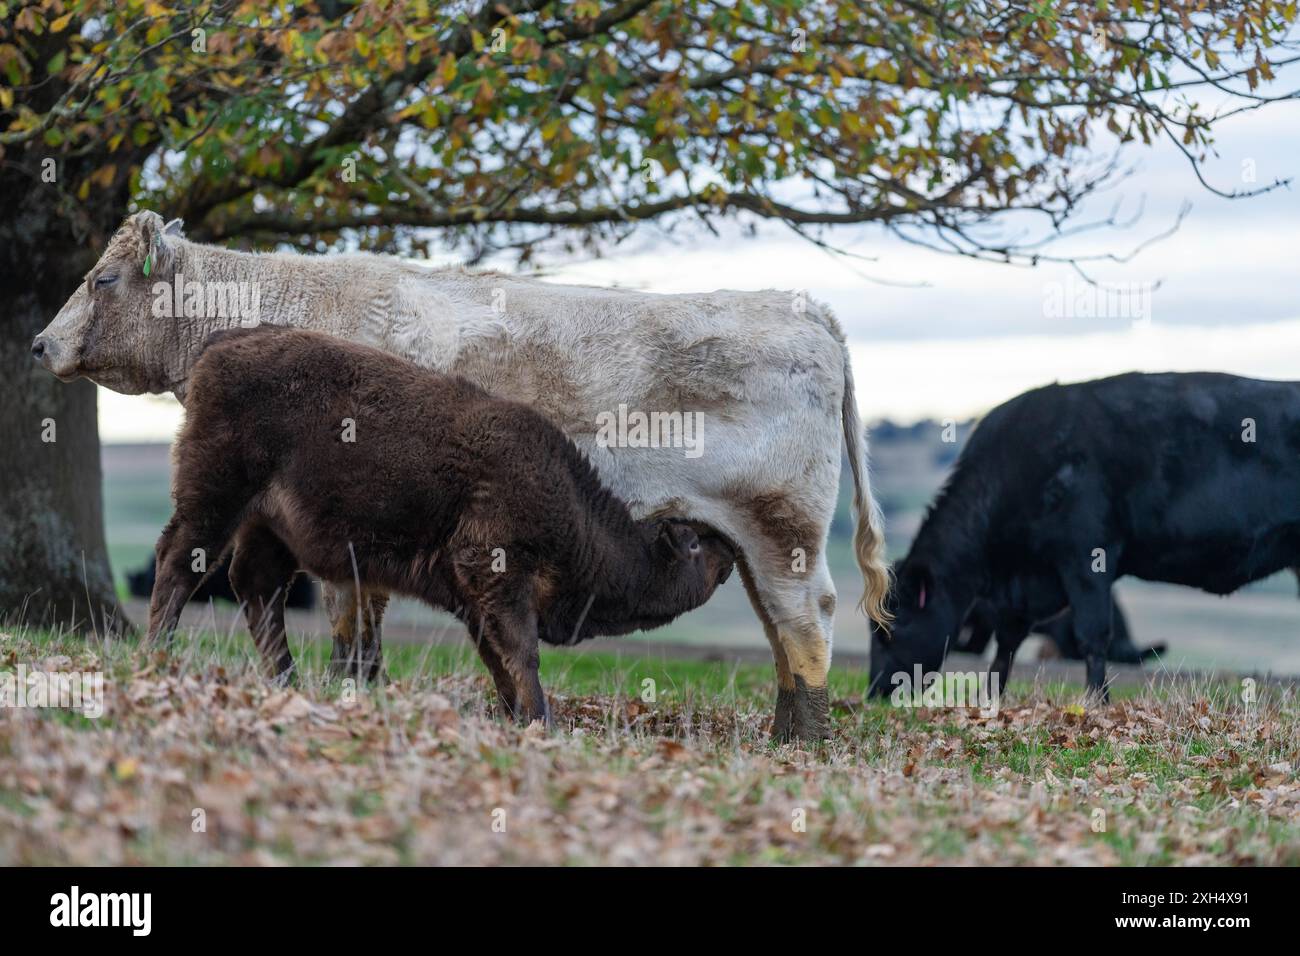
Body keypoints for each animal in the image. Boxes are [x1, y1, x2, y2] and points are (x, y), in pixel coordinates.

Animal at [869, 371, 1300, 699]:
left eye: (893, 627)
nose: (872, 691)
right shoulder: (1025, 586)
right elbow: (1006, 644)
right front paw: (990, 699)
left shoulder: (1087, 555)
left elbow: (1092, 636)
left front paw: (1097, 703)